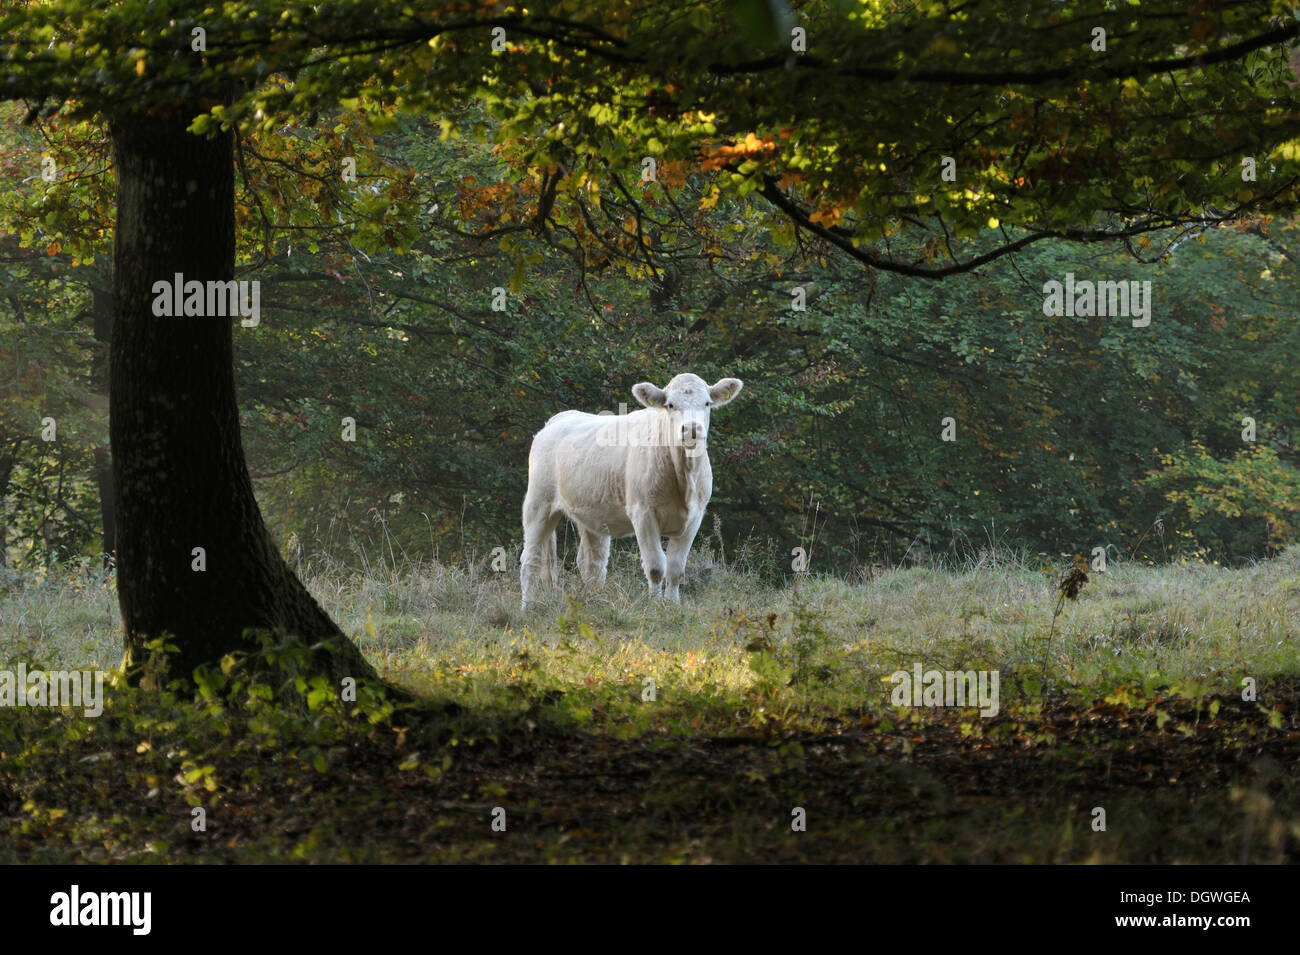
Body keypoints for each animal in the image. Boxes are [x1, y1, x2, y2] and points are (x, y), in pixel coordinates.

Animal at [520, 373, 743, 609]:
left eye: (707, 403)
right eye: (670, 405)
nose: (691, 429)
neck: (684, 478)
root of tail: (559, 418)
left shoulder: (695, 517)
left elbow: (676, 568)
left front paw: (673, 606)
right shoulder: (643, 513)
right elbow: (656, 567)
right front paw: (655, 606)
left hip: (591, 512)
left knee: (592, 562)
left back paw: (594, 601)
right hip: (538, 503)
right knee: (531, 559)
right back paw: (527, 608)